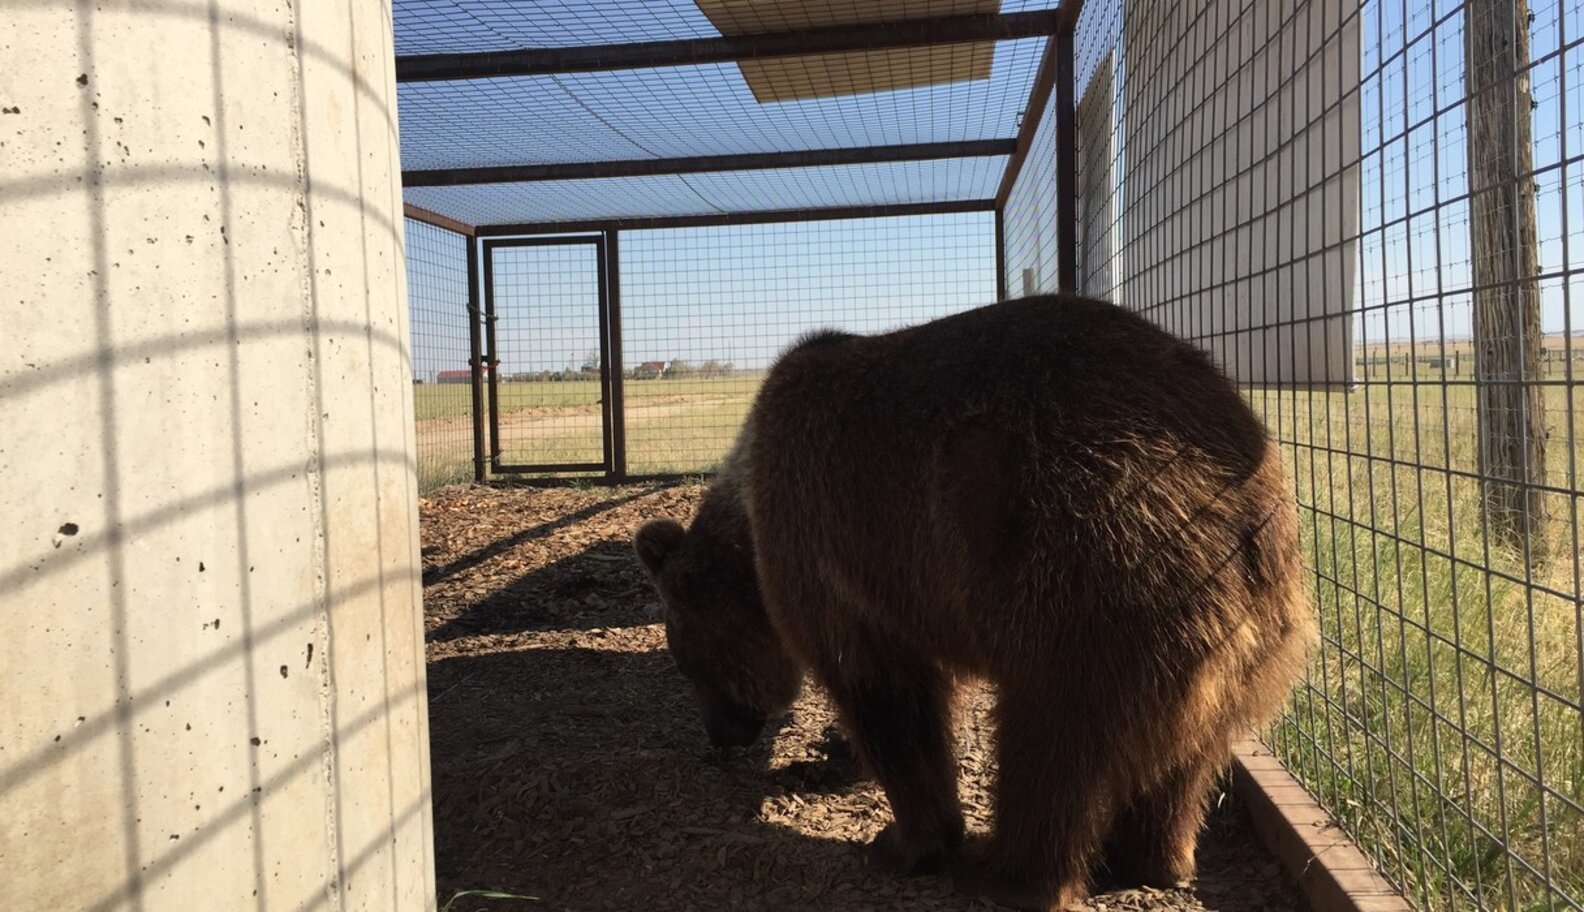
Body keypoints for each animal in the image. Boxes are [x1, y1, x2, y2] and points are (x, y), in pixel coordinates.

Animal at [633, 294, 1316, 910]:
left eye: (689, 662)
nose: (721, 733)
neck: (748, 512)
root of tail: (1245, 507)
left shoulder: (829, 547)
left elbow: (883, 694)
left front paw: (903, 840)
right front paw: (841, 759)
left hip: (1087, 561)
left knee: (1052, 739)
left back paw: (1007, 873)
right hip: (1252, 627)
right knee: (1192, 751)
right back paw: (1153, 859)